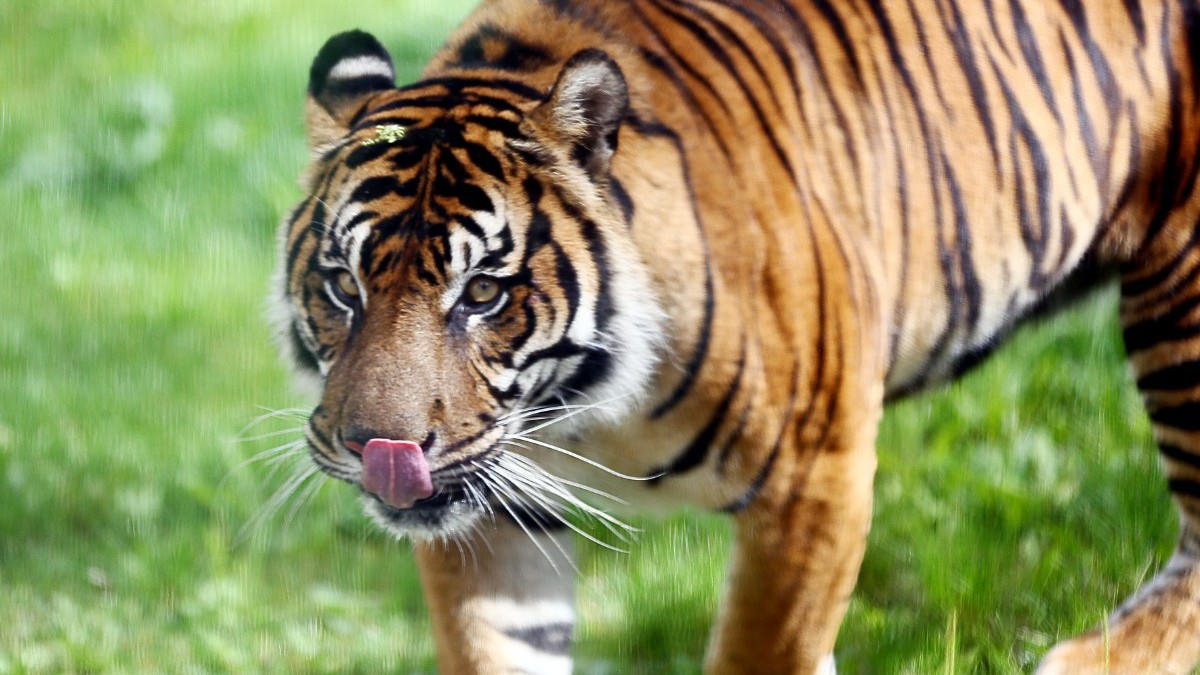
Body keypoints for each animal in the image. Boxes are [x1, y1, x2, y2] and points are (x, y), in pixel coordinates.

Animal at [272, 0, 1200, 672]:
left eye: (484, 292)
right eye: (344, 285)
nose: (376, 448)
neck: (582, 414)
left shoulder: (815, 473)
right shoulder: (498, 516)